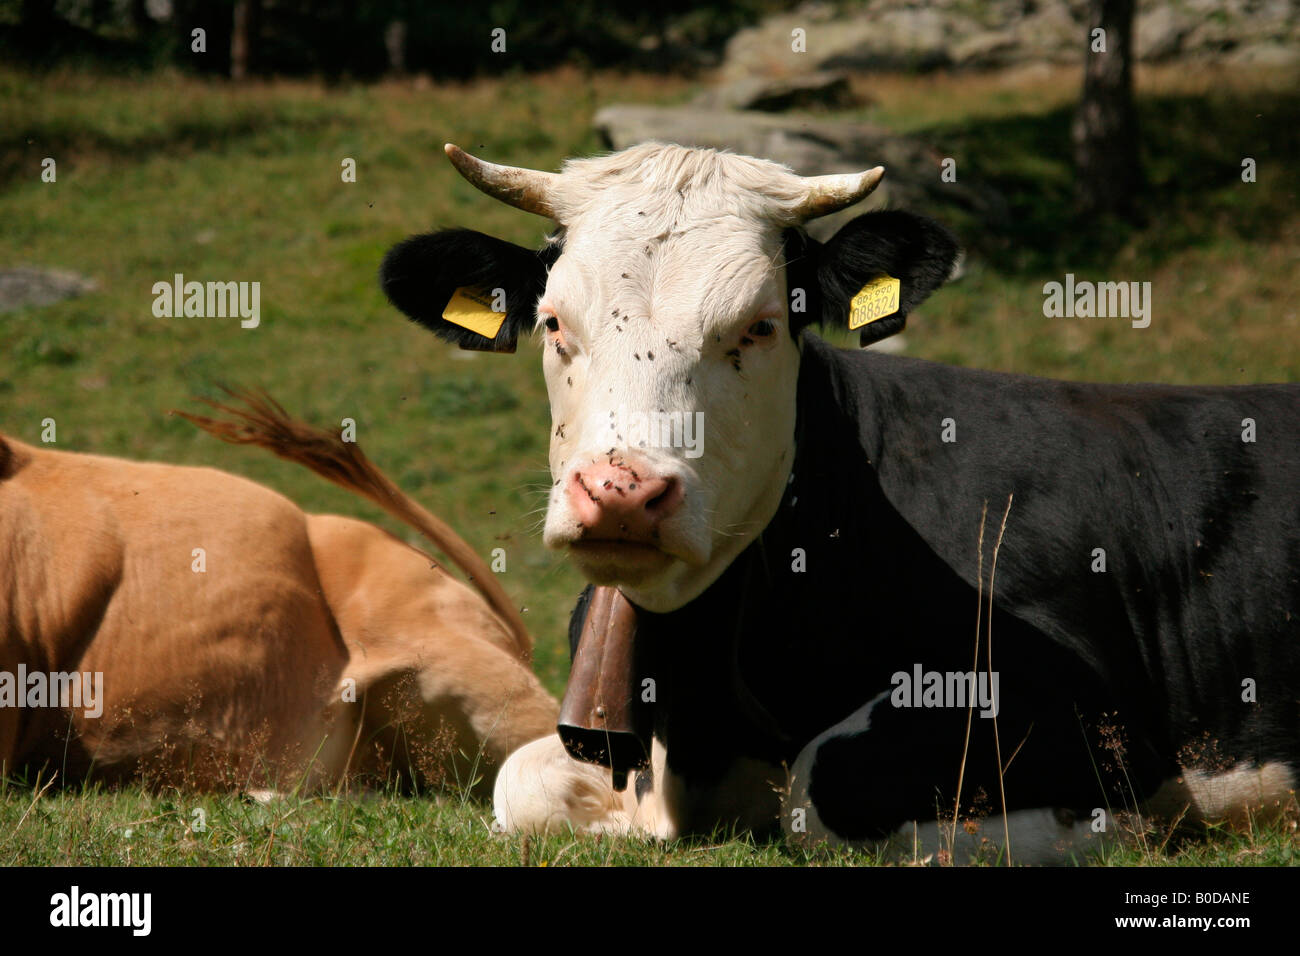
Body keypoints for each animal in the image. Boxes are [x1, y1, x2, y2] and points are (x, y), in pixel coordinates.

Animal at [380, 142, 1299, 863]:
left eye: (758, 326)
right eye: (552, 322)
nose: (622, 493)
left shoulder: (1085, 713)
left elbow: (821, 788)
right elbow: (518, 780)